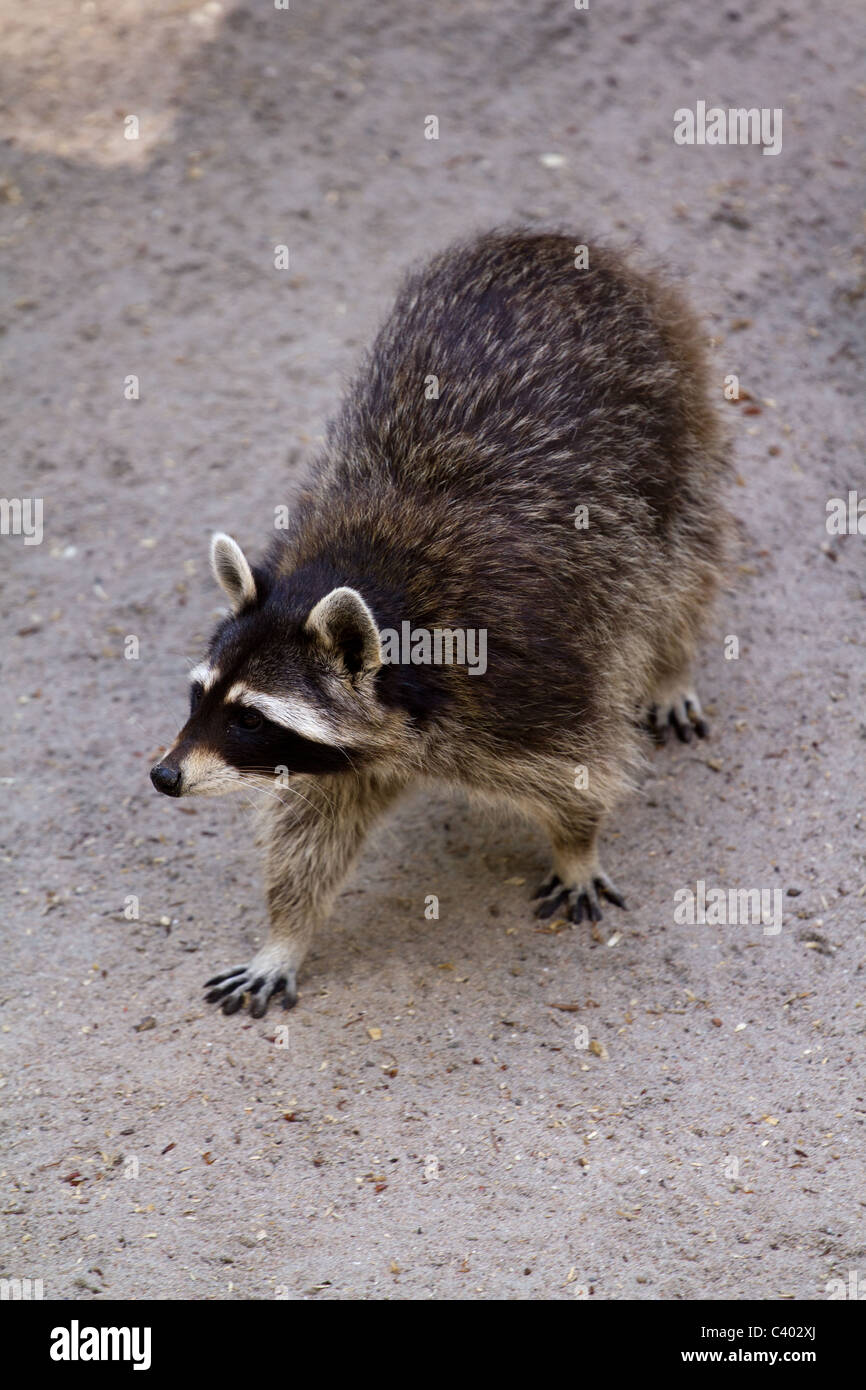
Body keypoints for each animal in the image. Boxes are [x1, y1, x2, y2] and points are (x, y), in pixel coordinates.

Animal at [150, 229, 733, 1018]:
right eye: (198, 695)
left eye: (248, 717)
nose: (164, 776)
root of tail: (561, 242)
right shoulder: (342, 753)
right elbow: (310, 833)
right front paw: (286, 932)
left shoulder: (531, 676)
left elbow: (583, 768)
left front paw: (579, 844)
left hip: (676, 430)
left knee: (679, 575)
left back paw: (673, 663)